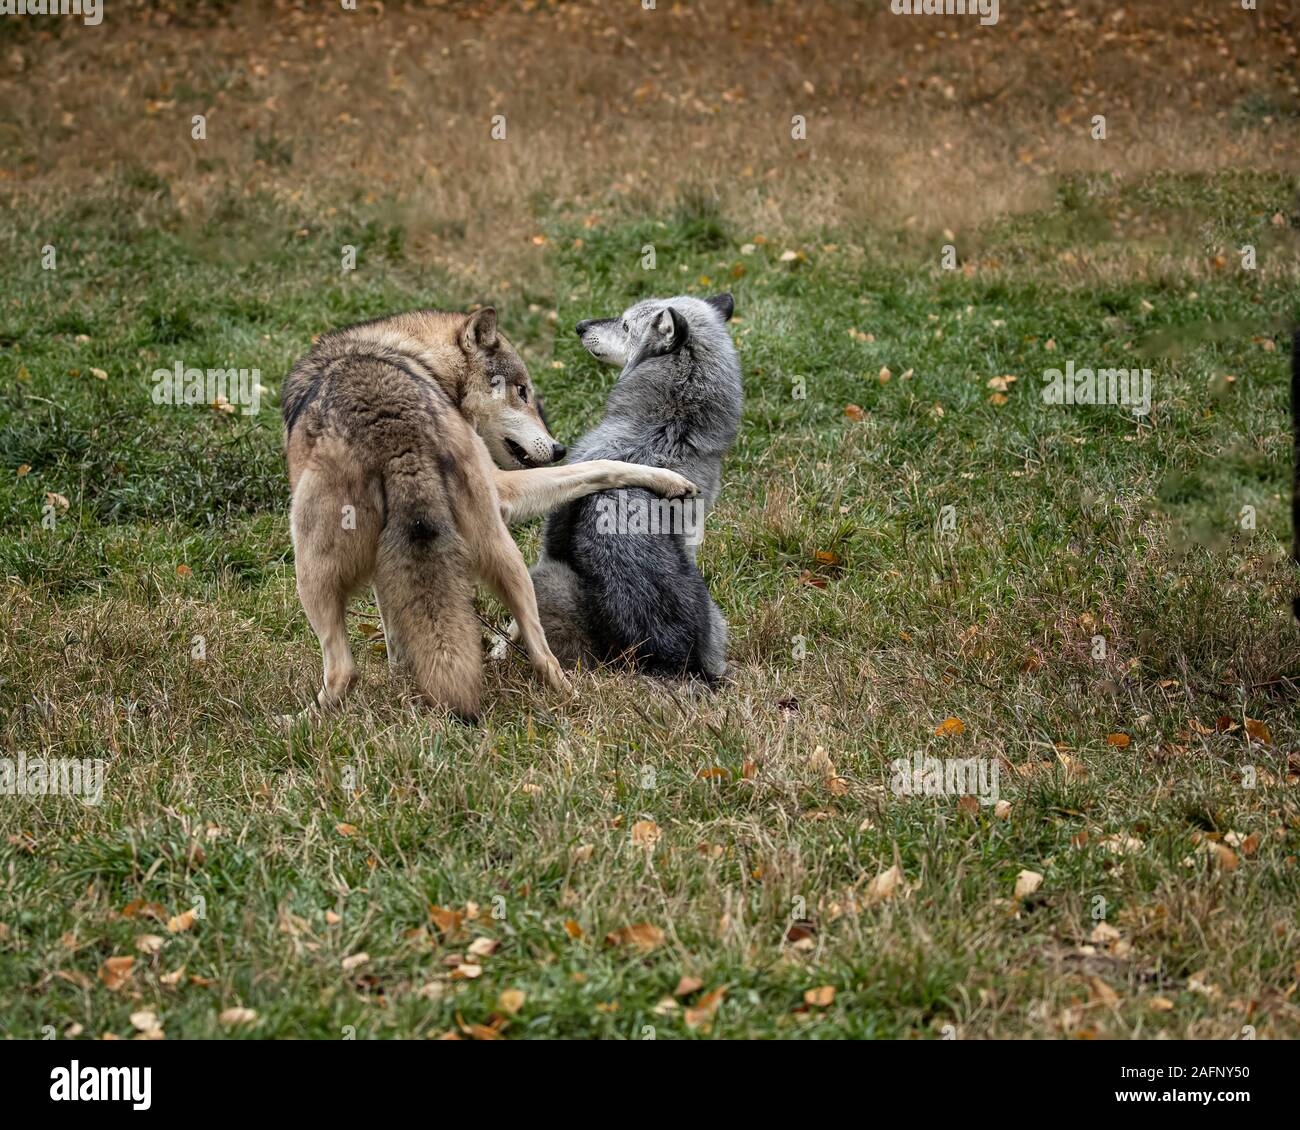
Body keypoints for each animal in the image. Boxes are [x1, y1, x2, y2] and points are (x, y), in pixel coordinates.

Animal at [282, 306, 700, 719]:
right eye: (522, 391)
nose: (559, 448)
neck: (414, 354)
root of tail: (394, 432)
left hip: (311, 569)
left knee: (343, 671)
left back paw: (296, 723)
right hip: (501, 558)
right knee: (540, 656)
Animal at [506, 293, 742, 682]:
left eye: (627, 324)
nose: (580, 325)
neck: (669, 424)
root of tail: (676, 663)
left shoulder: (550, 541)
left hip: (547, 579)